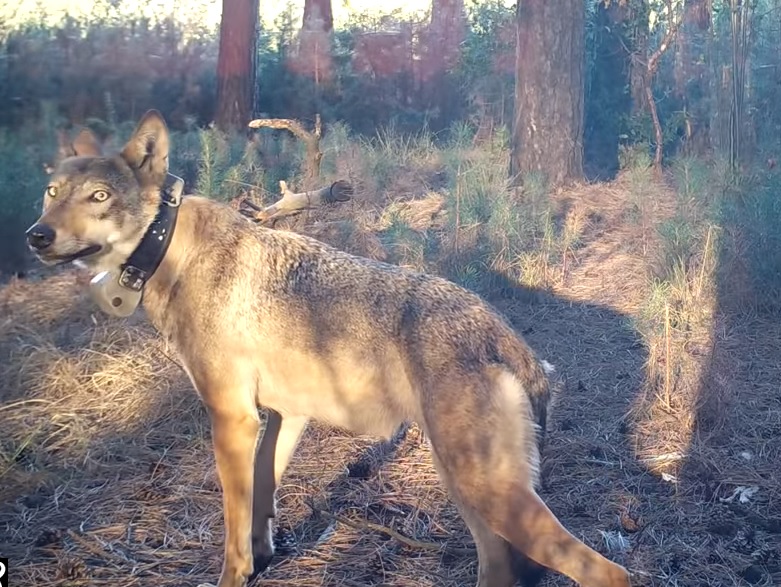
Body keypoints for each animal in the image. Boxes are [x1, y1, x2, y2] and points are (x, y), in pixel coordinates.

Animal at [25, 111, 632, 587]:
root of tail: (508, 337)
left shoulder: (232, 418)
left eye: (99, 197)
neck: (169, 248)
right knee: (504, 569)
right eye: (52, 194)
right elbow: (262, 506)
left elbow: (233, 531)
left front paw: (235, 574)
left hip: (486, 491)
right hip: (466, 489)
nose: (36, 236)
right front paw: (265, 559)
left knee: (609, 572)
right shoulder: (282, 416)